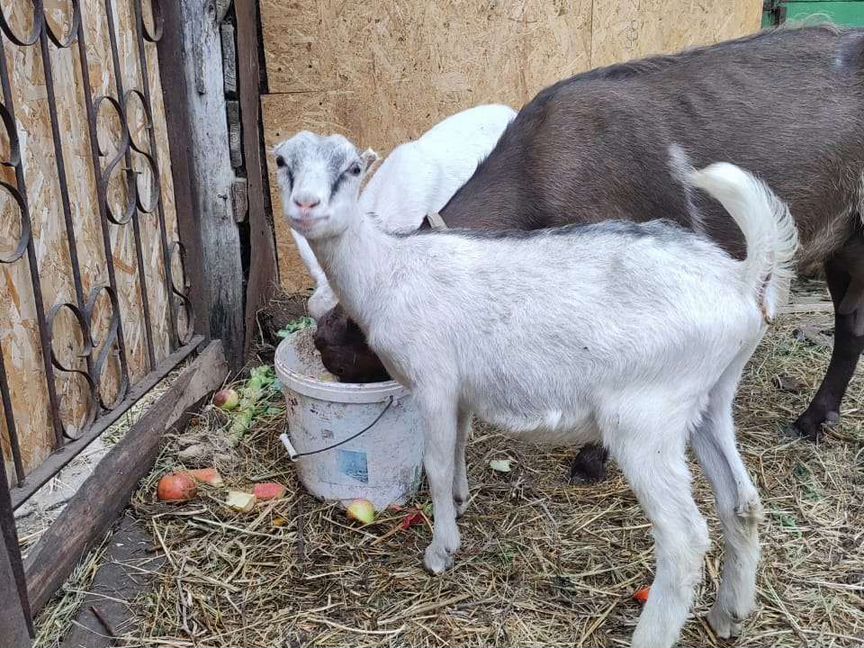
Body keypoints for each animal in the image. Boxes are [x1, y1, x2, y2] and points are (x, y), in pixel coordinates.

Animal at [273, 130, 798, 648]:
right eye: (282, 161)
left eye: (352, 168)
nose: (306, 205)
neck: (391, 271)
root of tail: (742, 279)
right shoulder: (461, 390)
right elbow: (459, 447)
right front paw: (460, 503)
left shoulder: (433, 382)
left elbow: (437, 466)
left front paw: (441, 551)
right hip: (712, 398)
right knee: (742, 503)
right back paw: (729, 613)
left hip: (646, 419)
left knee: (684, 540)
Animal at [311, 25, 864, 483]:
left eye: (362, 317)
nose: (320, 339)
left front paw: (589, 463)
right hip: (844, 246)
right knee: (850, 327)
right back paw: (811, 423)